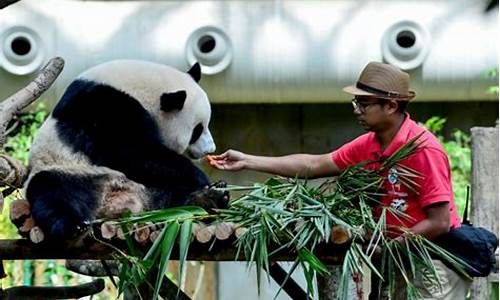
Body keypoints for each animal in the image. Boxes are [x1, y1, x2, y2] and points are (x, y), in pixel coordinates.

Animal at [24, 59, 226, 240]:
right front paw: (201, 177)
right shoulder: (103, 107)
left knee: (172, 196)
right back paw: (72, 225)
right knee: (52, 193)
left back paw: (208, 199)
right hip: (67, 170)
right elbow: (131, 154)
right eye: (197, 130)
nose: (210, 149)